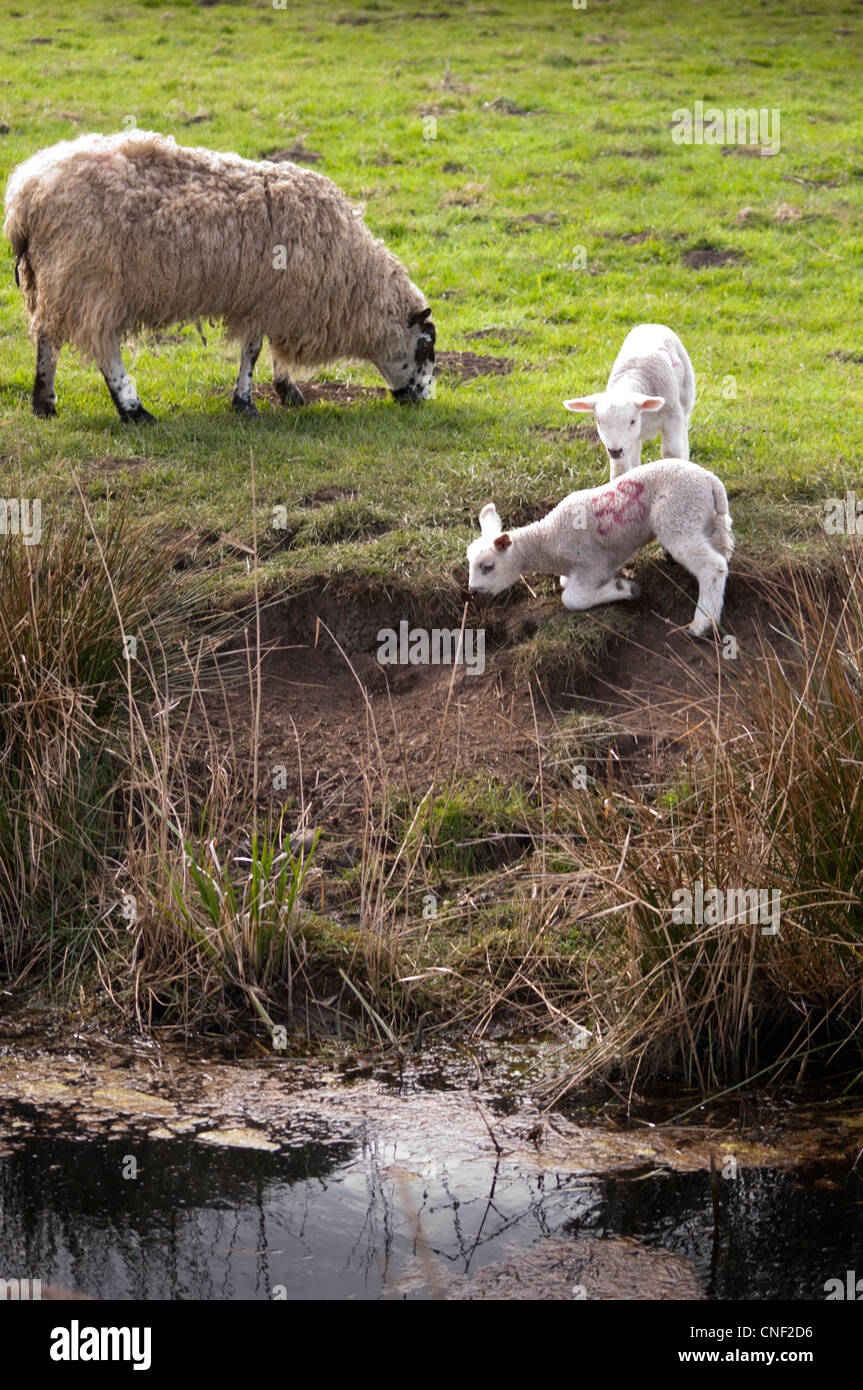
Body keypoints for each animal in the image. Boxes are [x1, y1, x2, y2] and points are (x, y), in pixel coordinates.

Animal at [3, 130, 436, 423]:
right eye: (425, 346)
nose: (424, 399)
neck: (351, 272)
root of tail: (26, 195)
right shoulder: (275, 298)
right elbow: (255, 350)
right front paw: (252, 400)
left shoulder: (270, 297)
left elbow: (263, 347)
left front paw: (282, 392)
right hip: (94, 280)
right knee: (105, 349)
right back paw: (134, 410)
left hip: (57, 281)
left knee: (47, 338)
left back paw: (44, 403)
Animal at [466, 458, 733, 638]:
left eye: (487, 566)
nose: (473, 590)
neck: (547, 541)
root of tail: (711, 481)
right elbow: (565, 583)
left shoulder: (591, 564)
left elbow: (571, 599)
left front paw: (624, 588)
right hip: (704, 521)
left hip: (678, 517)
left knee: (713, 566)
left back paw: (701, 623)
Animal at [563, 324, 696, 479]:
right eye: (599, 422)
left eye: (632, 421)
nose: (614, 451)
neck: (633, 375)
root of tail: (651, 325)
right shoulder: (624, 444)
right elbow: (620, 469)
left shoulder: (672, 417)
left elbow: (671, 452)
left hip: (686, 397)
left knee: (684, 430)